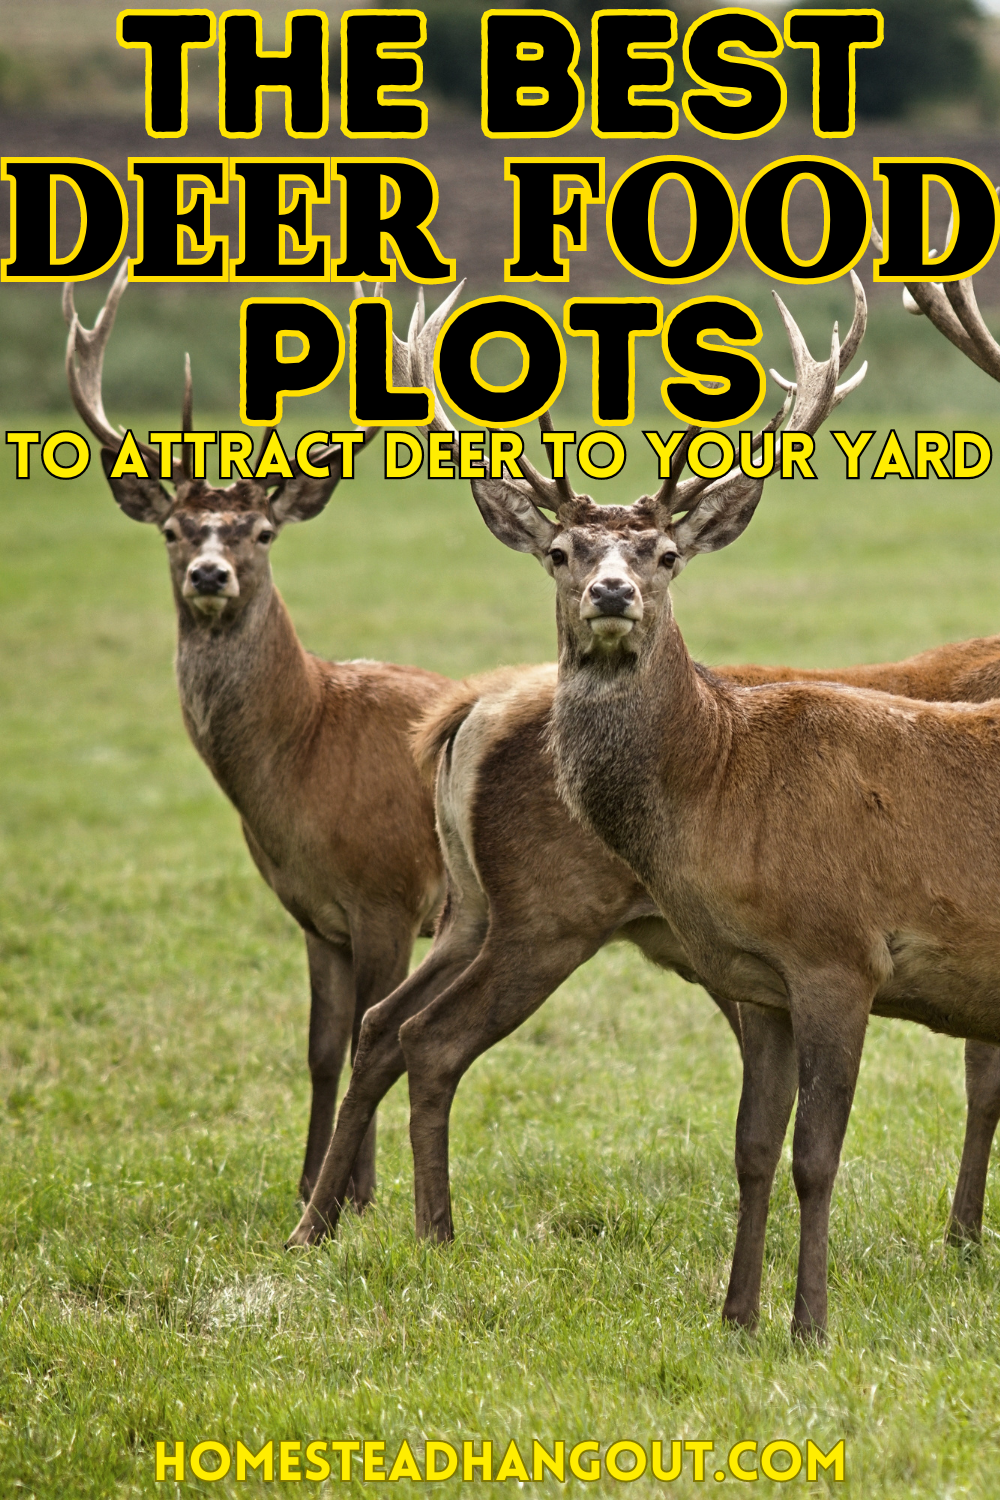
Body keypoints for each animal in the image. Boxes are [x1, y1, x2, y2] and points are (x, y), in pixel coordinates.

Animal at [62, 264, 466, 1208]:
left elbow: (366, 1038)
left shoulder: (390, 894)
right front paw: (309, 1179)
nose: (212, 574)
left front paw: (356, 1193)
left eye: (263, 530)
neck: (307, 756)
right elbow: (319, 1050)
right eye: (173, 529)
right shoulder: (313, 913)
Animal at [288, 271, 1000, 1287]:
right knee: (429, 1038)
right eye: (561, 552)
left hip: (473, 908)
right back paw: (425, 1232)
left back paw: (323, 1225)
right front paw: (959, 1238)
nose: (612, 592)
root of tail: (467, 714)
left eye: (665, 554)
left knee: (384, 1024)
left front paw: (959, 1237)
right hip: (546, 912)